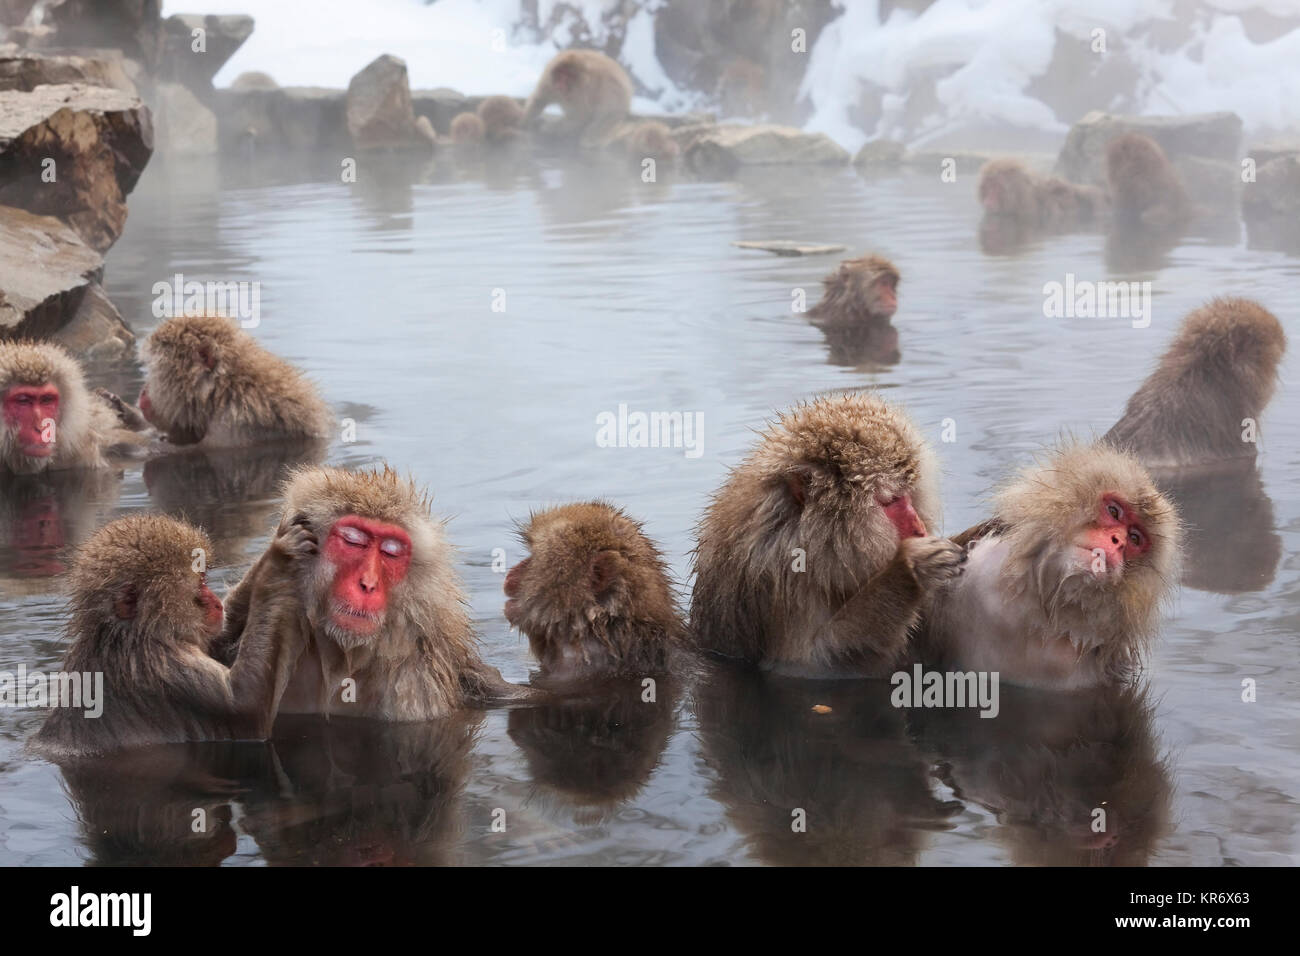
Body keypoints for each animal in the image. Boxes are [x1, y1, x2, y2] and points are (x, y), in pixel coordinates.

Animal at [31, 514, 311, 757]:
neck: (130, 636)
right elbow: (247, 704)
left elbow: (217, 643)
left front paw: (269, 554)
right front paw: (280, 557)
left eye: (204, 578)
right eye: (200, 585)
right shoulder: (162, 665)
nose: (216, 603)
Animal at [215, 465, 530, 720]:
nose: (367, 584)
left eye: (391, 551)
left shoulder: (415, 685)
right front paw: (276, 557)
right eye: (354, 541)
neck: (342, 656)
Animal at [690, 392, 965, 677]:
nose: (918, 529)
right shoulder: (781, 578)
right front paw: (912, 568)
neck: (815, 548)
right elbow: (810, 663)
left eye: (910, 494)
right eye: (891, 501)